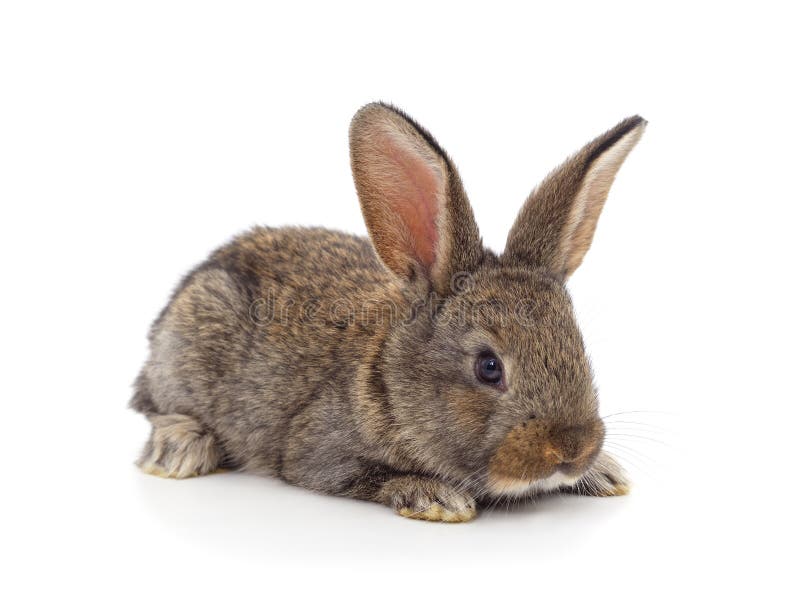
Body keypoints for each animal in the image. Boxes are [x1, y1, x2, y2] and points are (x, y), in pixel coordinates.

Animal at [130, 102, 646, 522]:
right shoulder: (318, 455)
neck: (389, 382)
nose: (573, 449)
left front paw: (604, 473)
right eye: (488, 367)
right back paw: (180, 448)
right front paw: (436, 498)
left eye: (579, 348)